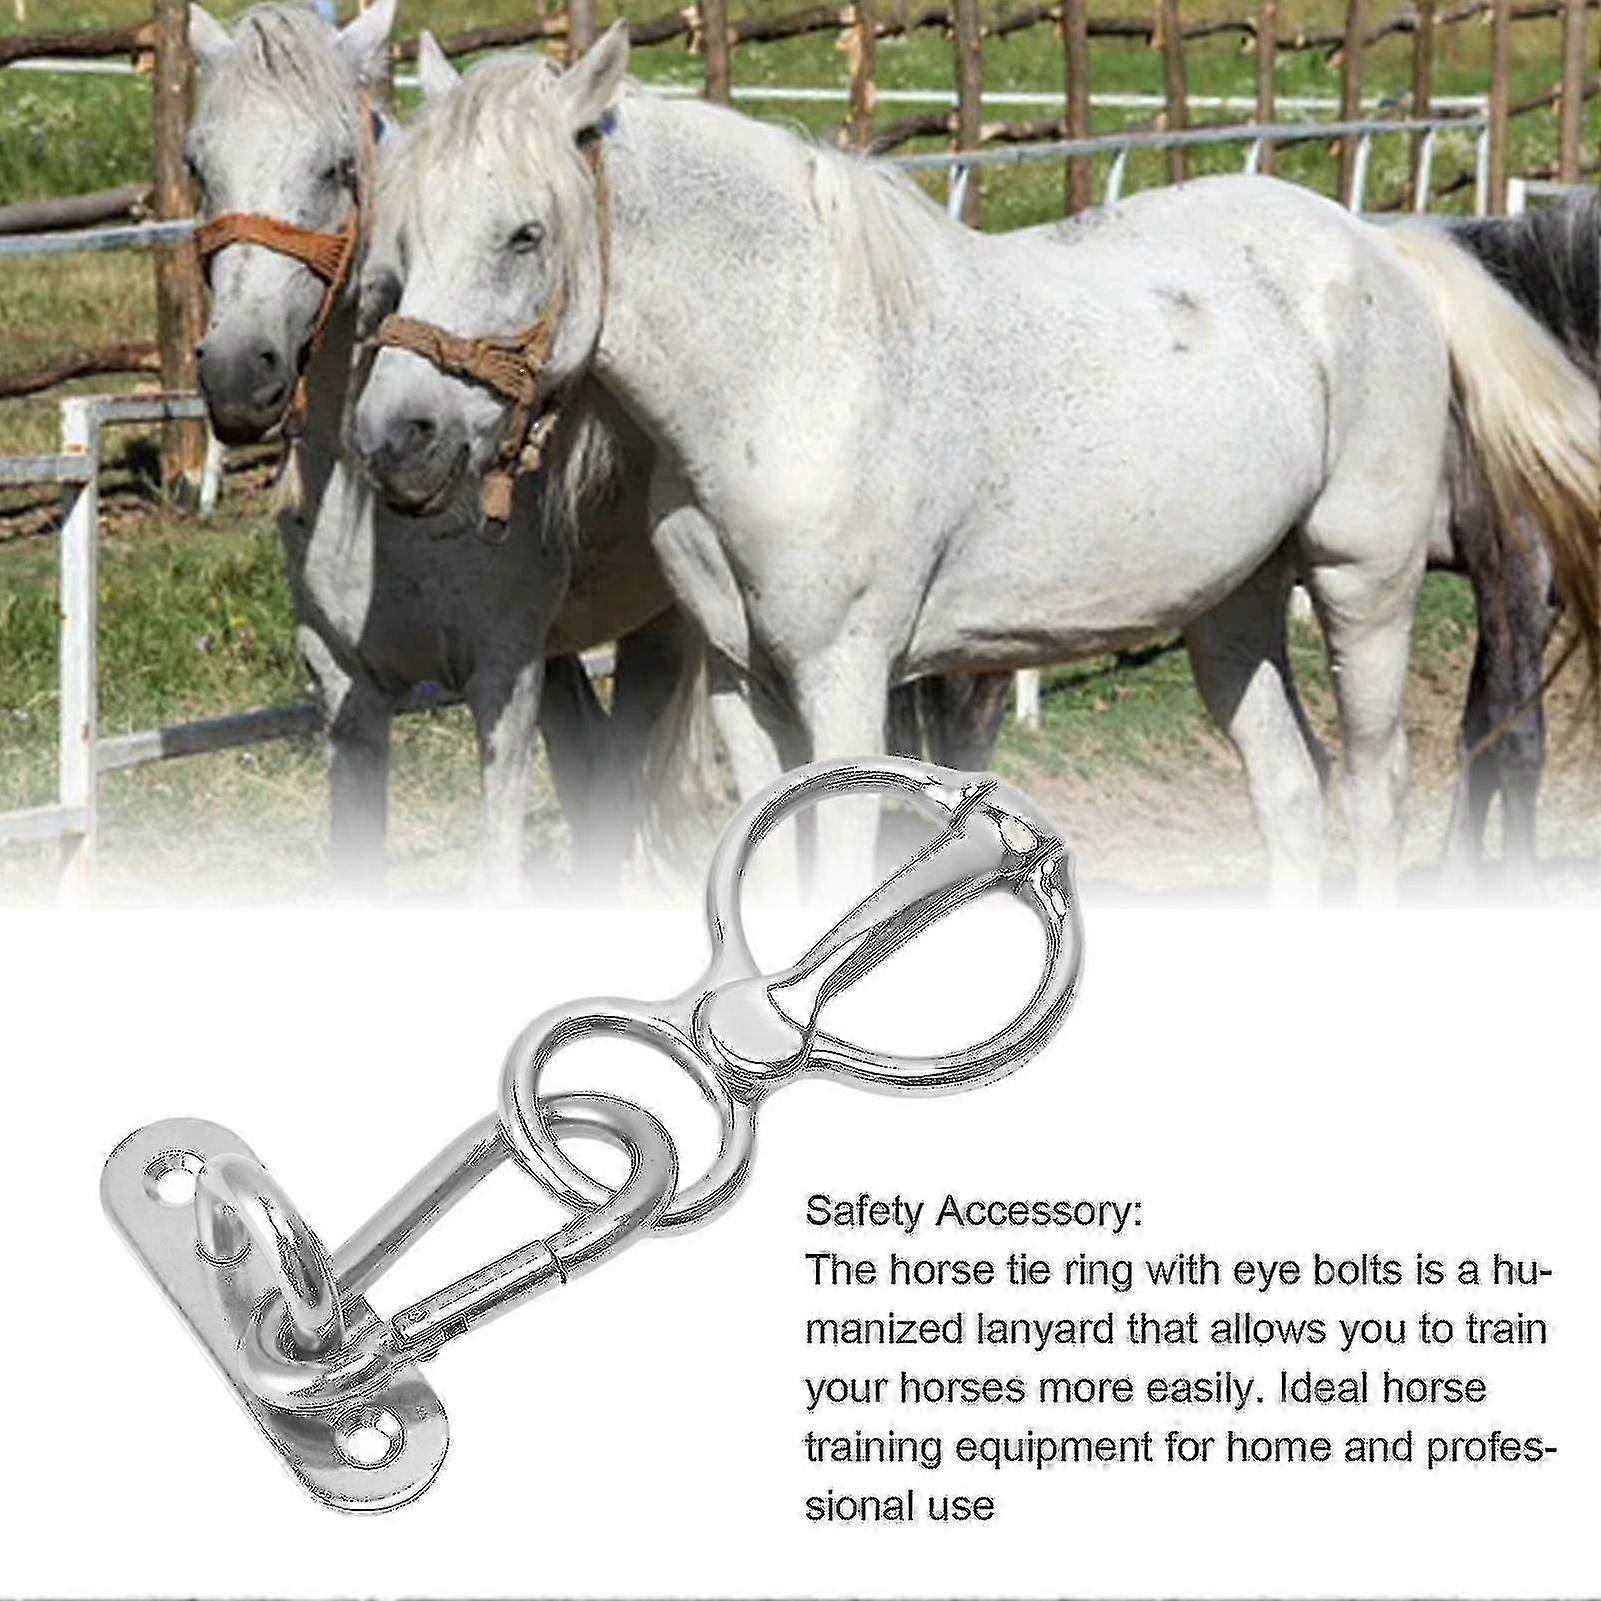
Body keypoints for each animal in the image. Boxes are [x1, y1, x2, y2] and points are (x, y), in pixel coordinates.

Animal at [186, 2, 701, 896]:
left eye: (337, 167)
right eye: (197, 166)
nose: (237, 373)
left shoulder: (502, 686)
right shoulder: (350, 694)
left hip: (660, 634)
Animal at [351, 30, 1597, 903]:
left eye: (524, 234)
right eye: (401, 237)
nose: (392, 436)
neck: (794, 362)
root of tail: (1377, 244)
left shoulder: (847, 677)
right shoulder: (745, 687)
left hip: (1359, 583)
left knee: (1379, 786)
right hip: (1230, 611)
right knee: (1291, 791)